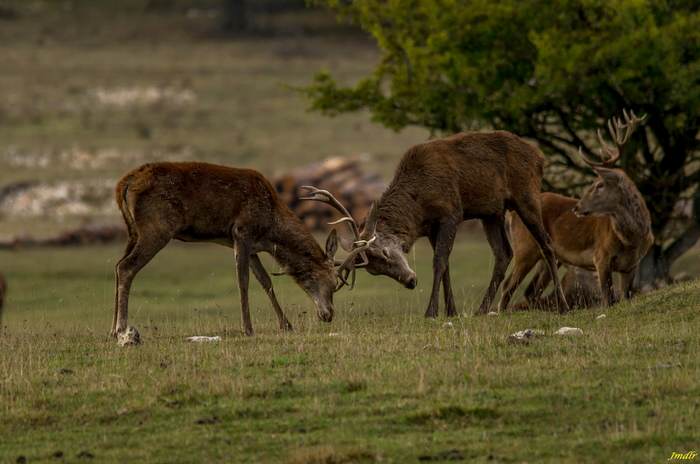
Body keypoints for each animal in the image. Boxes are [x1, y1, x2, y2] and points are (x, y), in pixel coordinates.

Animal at [112, 162, 371, 338]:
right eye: (331, 282)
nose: (328, 315)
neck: (270, 228)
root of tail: (123, 184)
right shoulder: (241, 232)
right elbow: (243, 281)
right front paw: (248, 328)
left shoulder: (253, 245)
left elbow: (266, 281)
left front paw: (286, 325)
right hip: (156, 228)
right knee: (126, 267)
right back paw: (121, 328)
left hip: (132, 231)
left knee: (117, 265)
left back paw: (113, 328)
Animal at [302, 131, 570, 317]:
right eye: (375, 270)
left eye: (385, 253)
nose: (410, 281)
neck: (418, 205)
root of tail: (540, 158)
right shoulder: (431, 227)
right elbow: (446, 265)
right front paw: (450, 310)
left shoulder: (452, 213)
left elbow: (439, 261)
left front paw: (431, 311)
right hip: (492, 212)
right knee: (504, 253)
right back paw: (482, 309)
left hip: (527, 195)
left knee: (546, 244)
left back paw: (563, 305)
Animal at [498, 110, 654, 311]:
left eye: (599, 185)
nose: (577, 207)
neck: (632, 240)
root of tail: (510, 214)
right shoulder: (601, 256)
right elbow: (607, 300)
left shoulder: (631, 266)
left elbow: (624, 297)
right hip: (525, 248)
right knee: (508, 286)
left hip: (548, 257)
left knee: (531, 290)